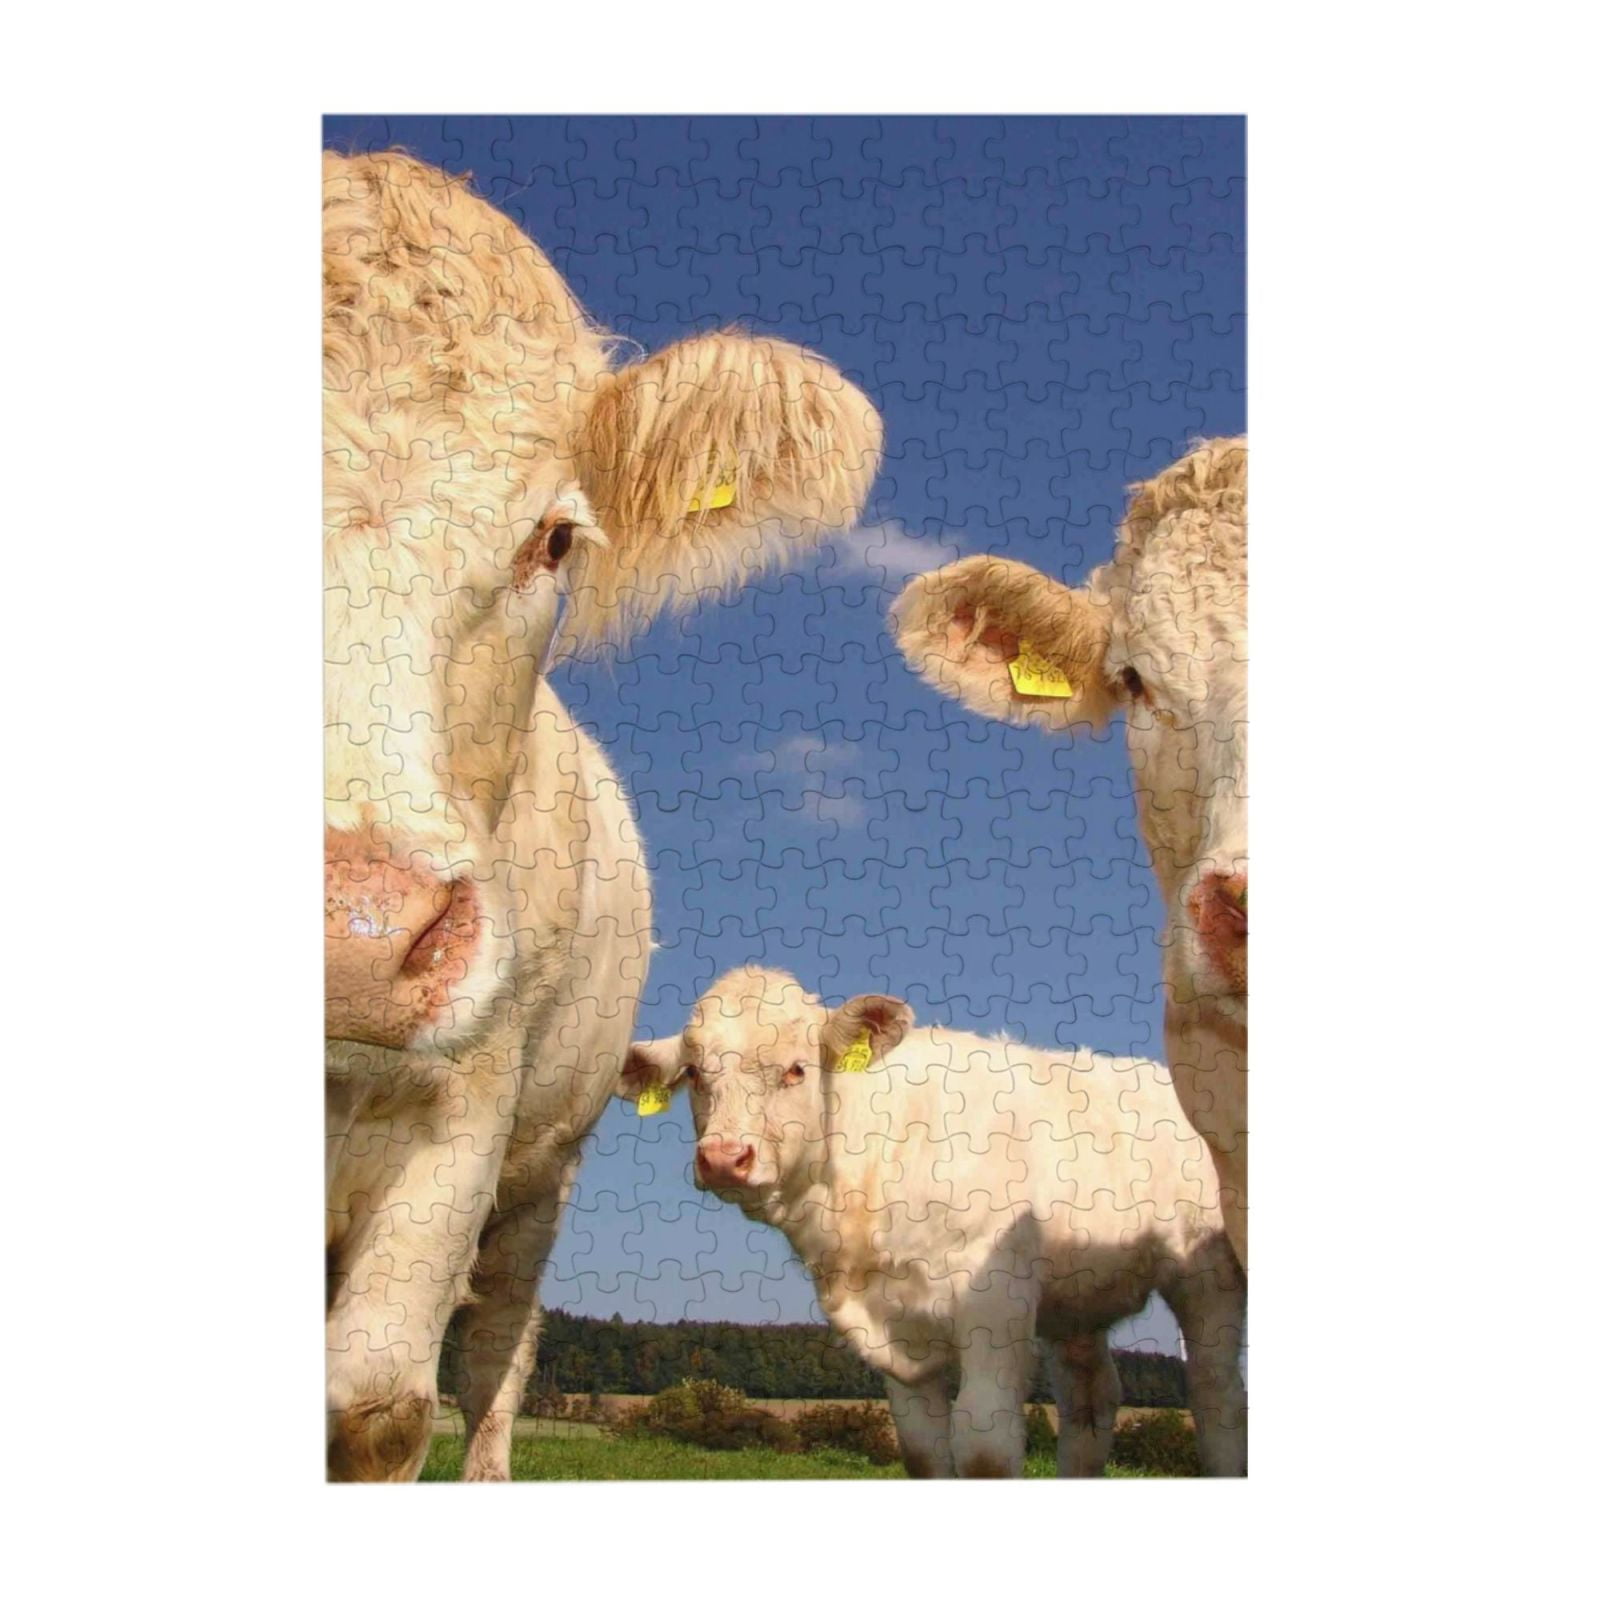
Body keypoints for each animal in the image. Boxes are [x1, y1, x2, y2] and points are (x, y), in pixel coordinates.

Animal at [324, 151, 882, 1480]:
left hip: (541, 1176)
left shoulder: (460, 1117)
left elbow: (375, 1407)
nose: (354, 939)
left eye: (555, 537)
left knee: (494, 1356)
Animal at [622, 966, 1246, 1477]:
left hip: (1207, 1275)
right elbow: (923, 1452)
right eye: (695, 1073)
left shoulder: (996, 1303)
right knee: (1091, 1402)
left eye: (797, 1069)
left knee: (1217, 1395)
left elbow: (985, 1447)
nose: (724, 1157)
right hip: (1077, 1301)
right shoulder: (895, 1335)